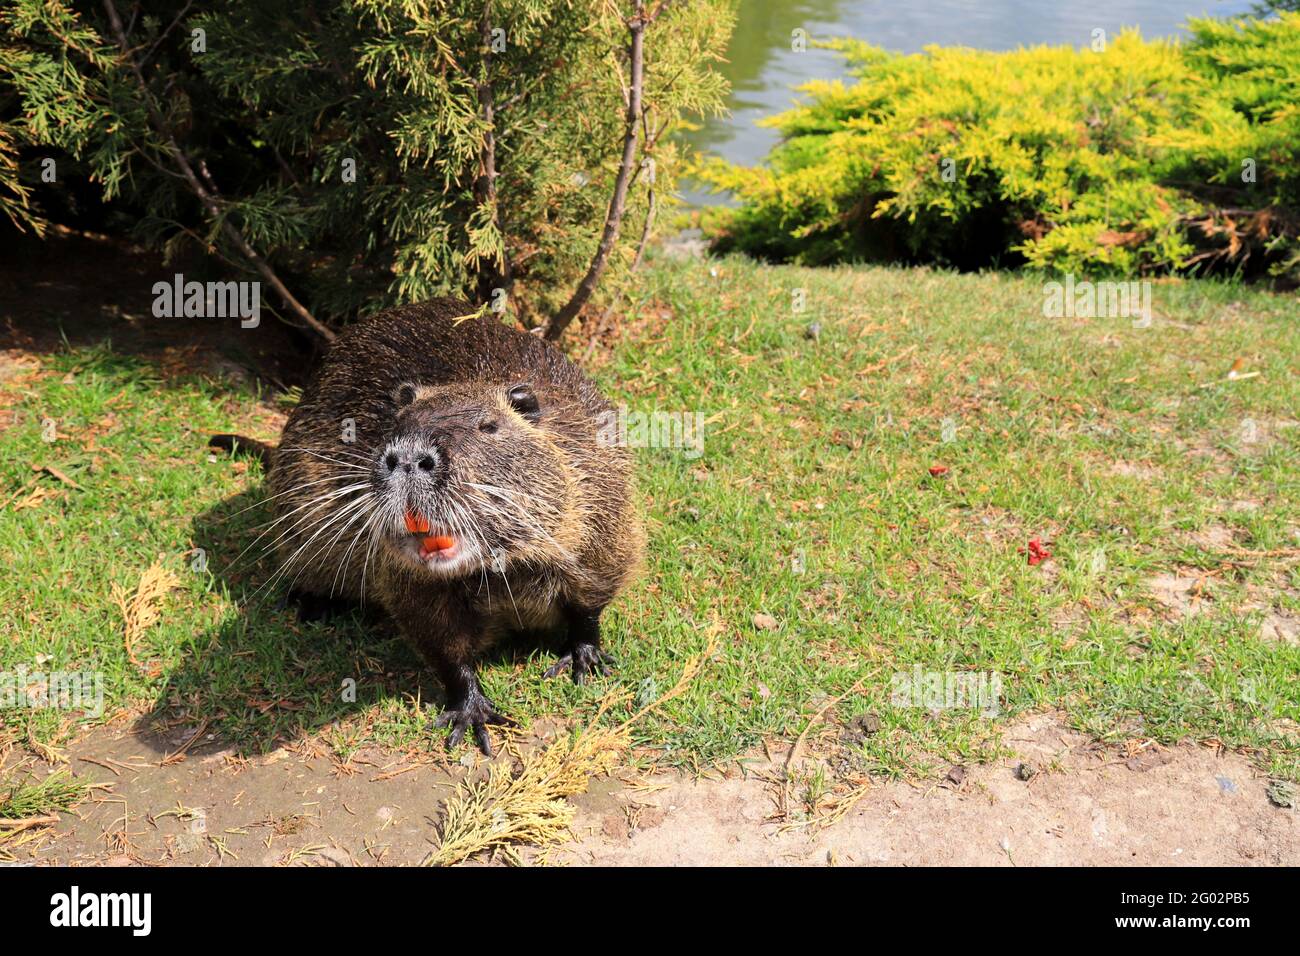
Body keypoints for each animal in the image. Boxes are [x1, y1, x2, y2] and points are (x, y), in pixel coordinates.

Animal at [211, 299, 643, 755]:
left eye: (488, 426)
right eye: (396, 424)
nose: (407, 457)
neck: (497, 572)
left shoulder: (603, 520)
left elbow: (590, 602)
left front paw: (586, 659)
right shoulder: (409, 585)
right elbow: (442, 647)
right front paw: (472, 713)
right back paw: (312, 605)